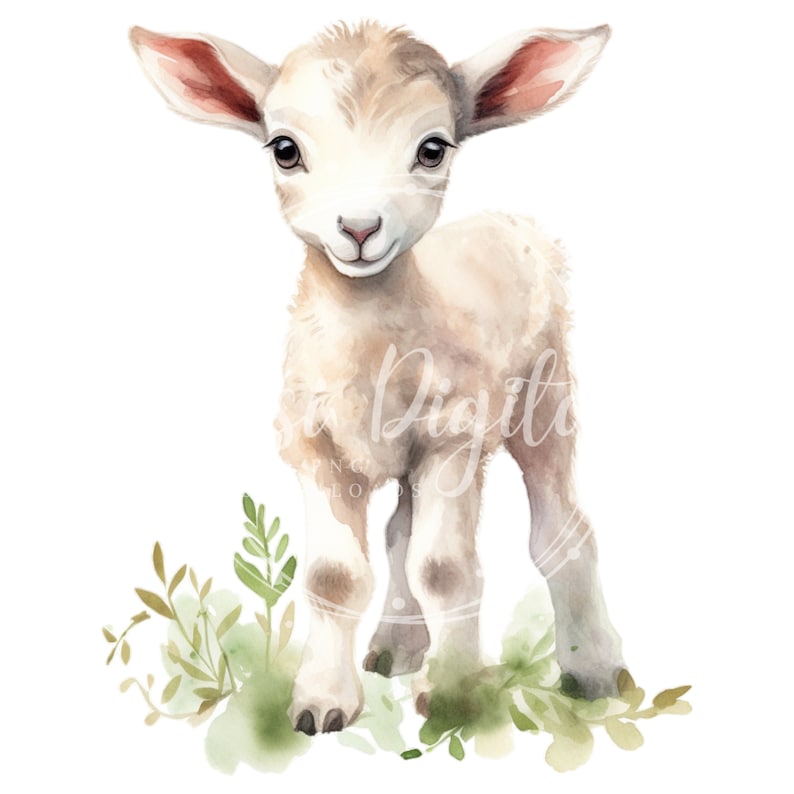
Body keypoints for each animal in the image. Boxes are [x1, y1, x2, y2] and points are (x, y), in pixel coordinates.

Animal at [130, 20, 626, 736]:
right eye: (285, 149)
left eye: (432, 148)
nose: (359, 228)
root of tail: (511, 221)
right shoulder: (314, 445)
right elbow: (336, 576)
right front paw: (321, 701)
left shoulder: (451, 438)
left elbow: (446, 569)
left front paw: (453, 700)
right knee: (399, 534)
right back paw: (396, 646)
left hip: (542, 396)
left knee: (563, 531)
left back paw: (593, 669)